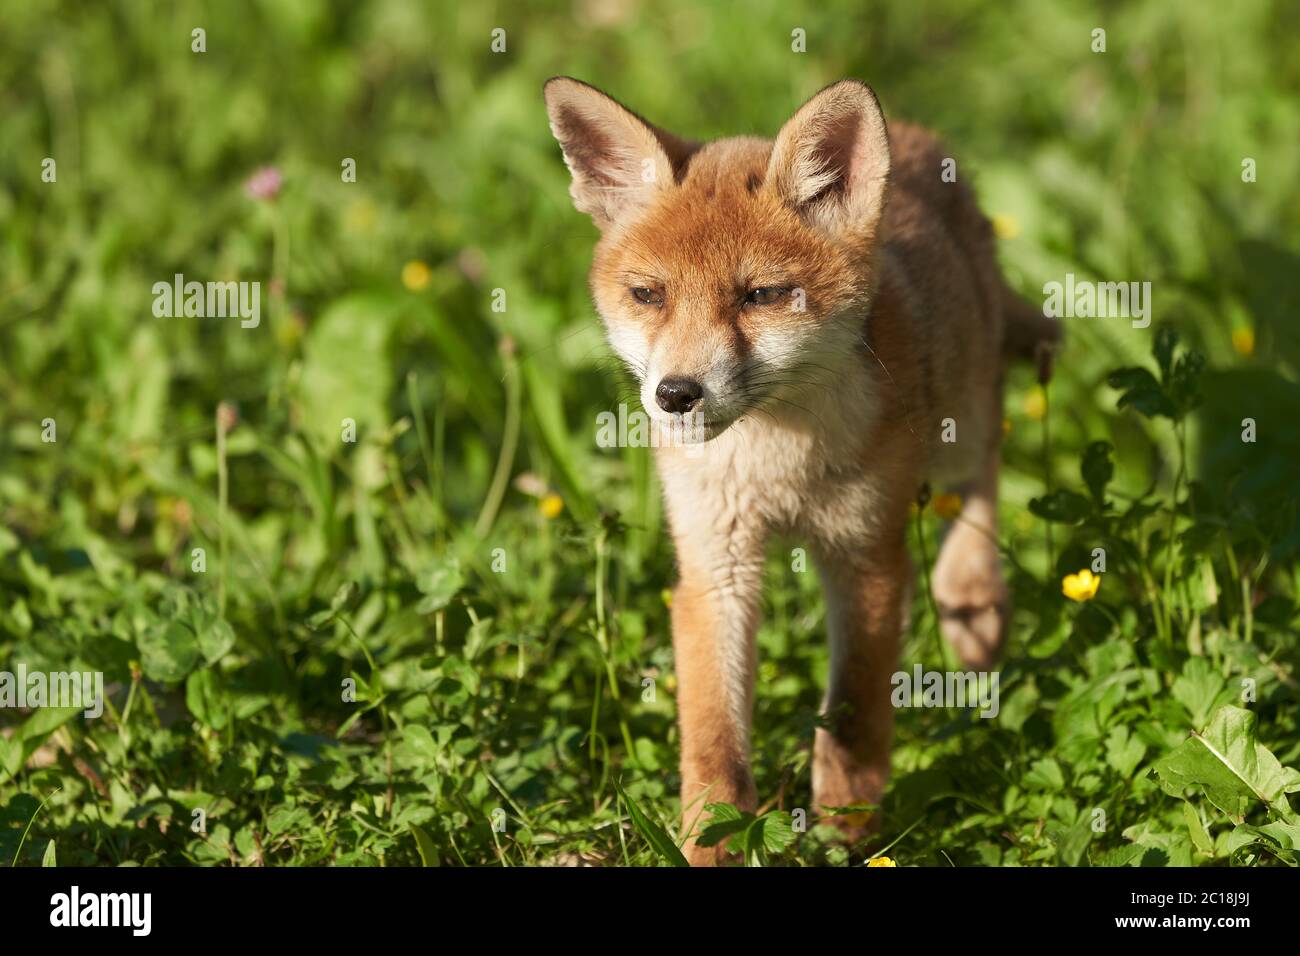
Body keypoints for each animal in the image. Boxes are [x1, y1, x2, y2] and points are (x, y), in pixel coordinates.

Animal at [543, 76, 1059, 865]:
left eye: (760, 295)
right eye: (649, 295)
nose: (675, 394)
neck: (774, 464)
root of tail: (922, 141)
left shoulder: (865, 555)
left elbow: (851, 715)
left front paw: (847, 826)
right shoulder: (714, 566)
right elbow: (713, 741)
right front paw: (711, 839)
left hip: (961, 423)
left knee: (987, 464)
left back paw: (973, 595)